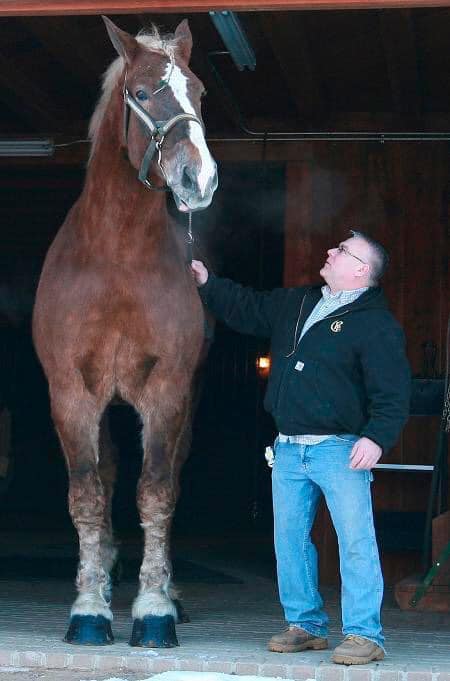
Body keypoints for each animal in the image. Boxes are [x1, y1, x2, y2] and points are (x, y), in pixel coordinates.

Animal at [32, 16, 218, 648]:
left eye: (198, 92)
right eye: (140, 93)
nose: (198, 178)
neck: (117, 256)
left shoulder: (166, 393)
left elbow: (157, 492)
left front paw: (154, 609)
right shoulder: (71, 394)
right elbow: (88, 494)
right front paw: (89, 608)